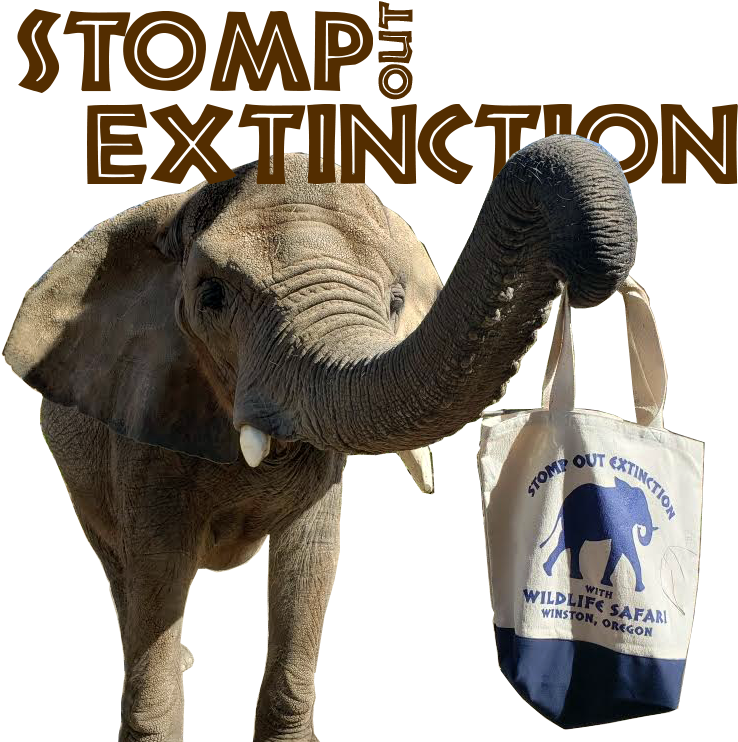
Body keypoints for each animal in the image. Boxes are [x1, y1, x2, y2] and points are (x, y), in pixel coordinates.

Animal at [3, 134, 637, 741]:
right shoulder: (143, 420)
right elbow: (160, 566)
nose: (589, 271)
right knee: (121, 569)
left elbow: (310, 560)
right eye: (211, 297)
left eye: (395, 301)